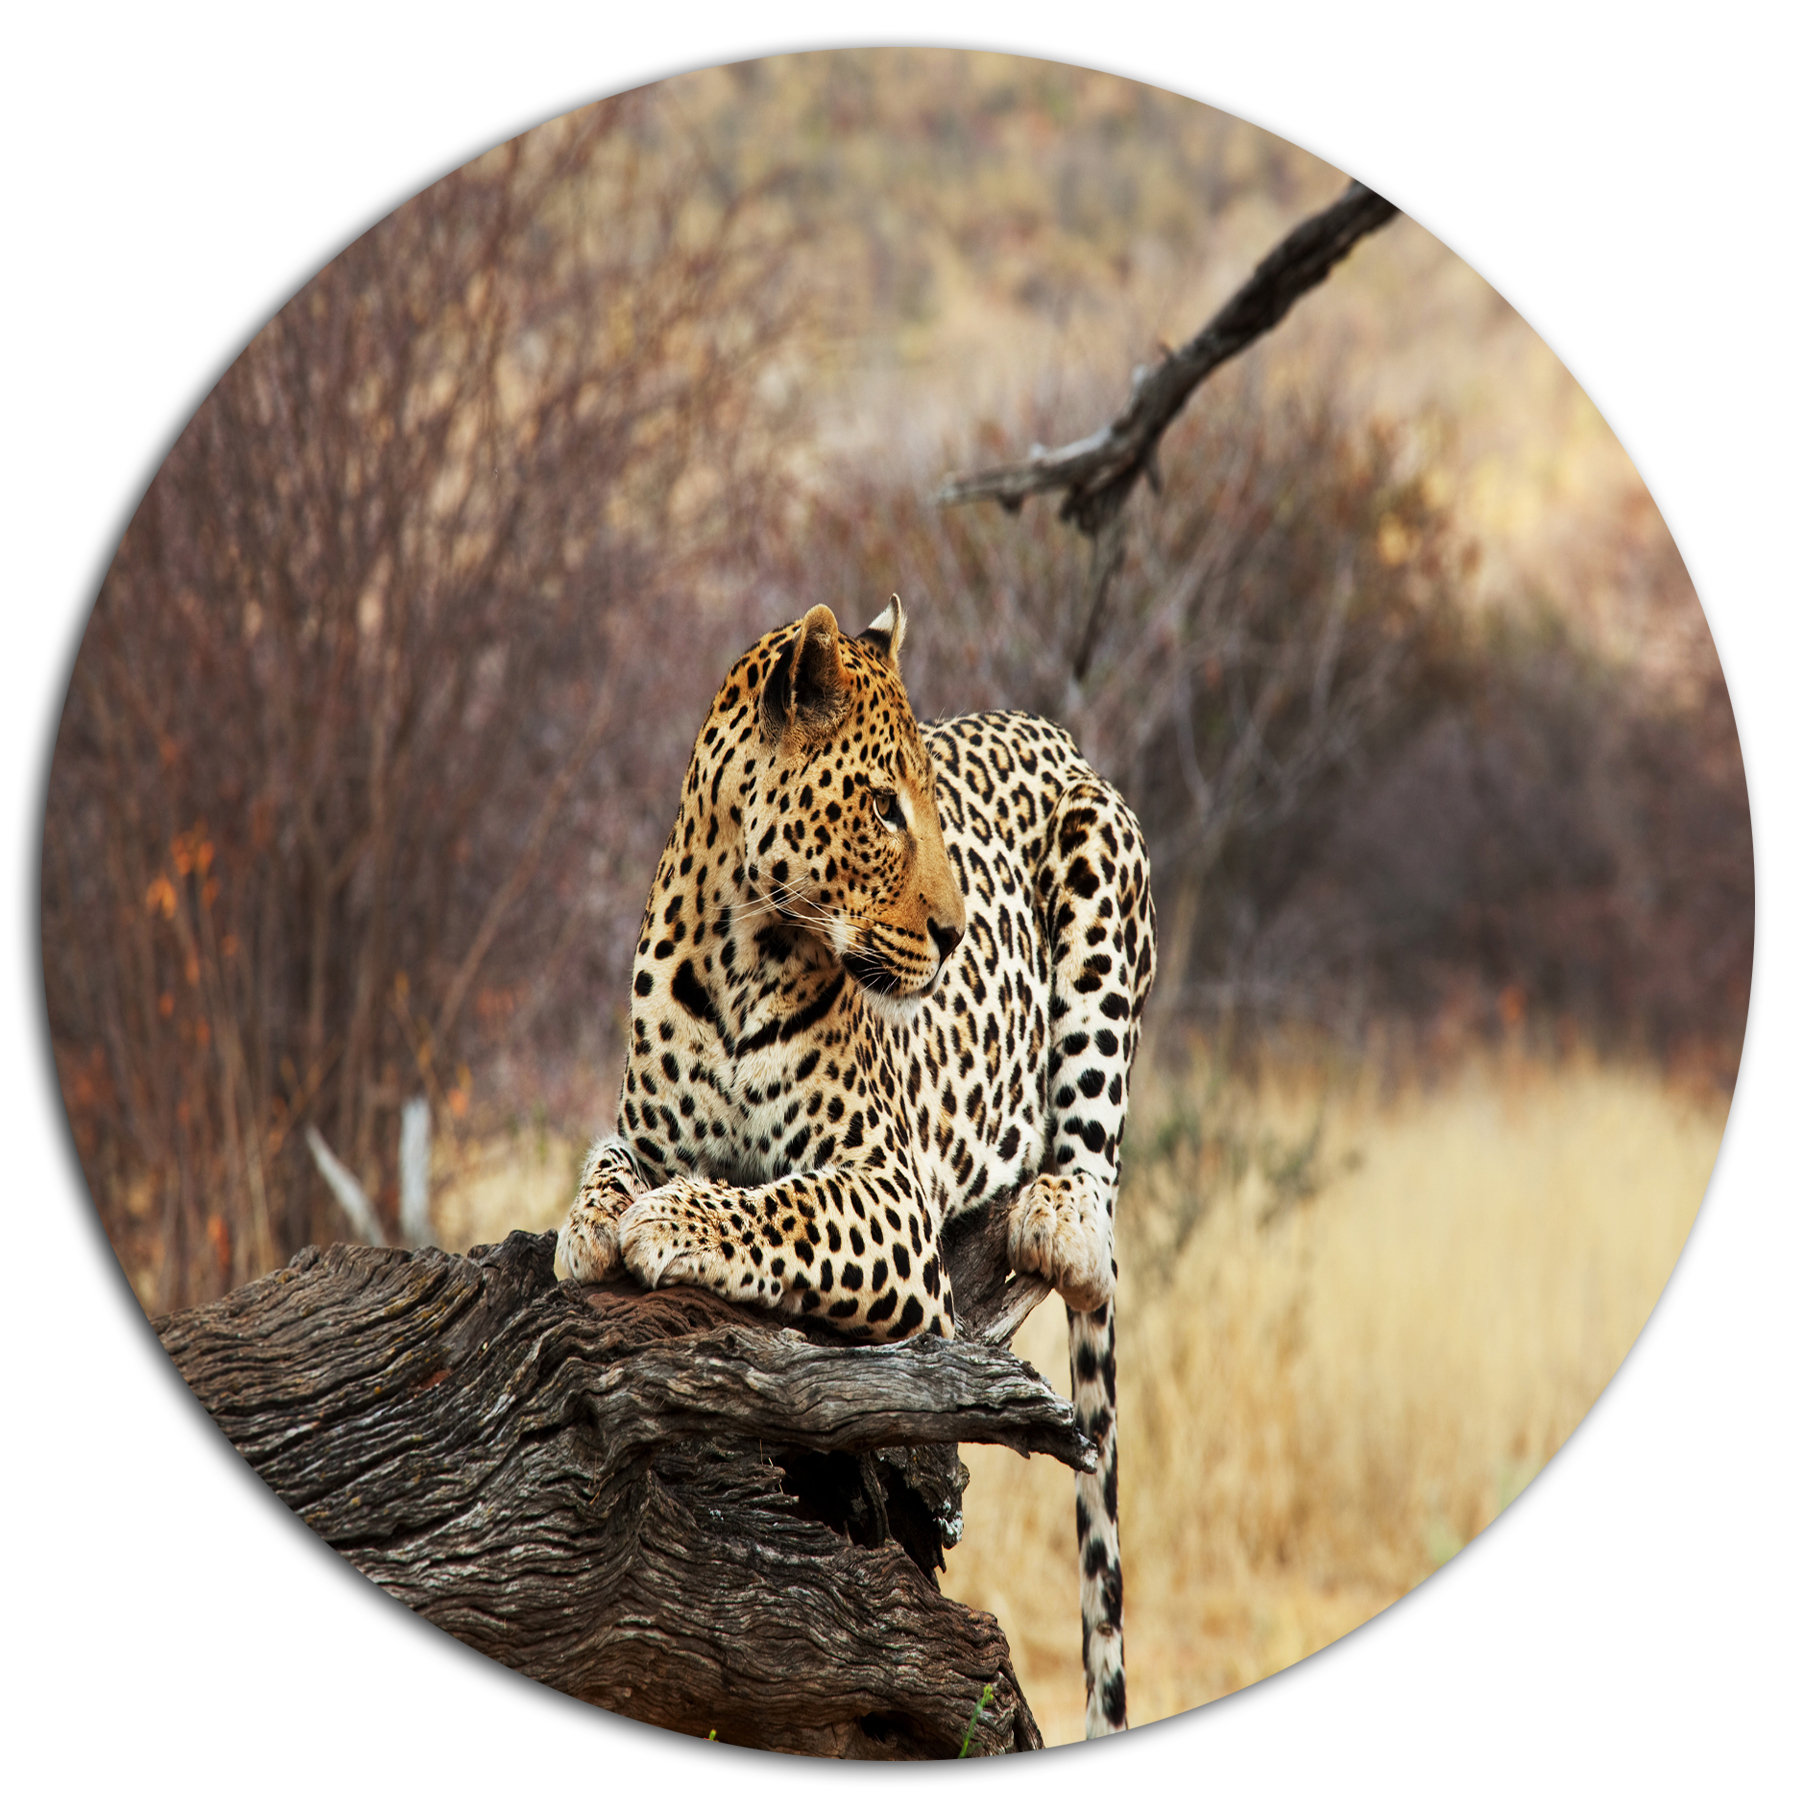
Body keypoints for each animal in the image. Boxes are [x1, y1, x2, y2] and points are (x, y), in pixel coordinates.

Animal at [557, 596, 1155, 1738]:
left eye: (921, 804)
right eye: (881, 806)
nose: (957, 932)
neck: (736, 951)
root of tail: (1048, 729)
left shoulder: (886, 1194)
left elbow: (782, 1205)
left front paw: (677, 1222)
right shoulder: (638, 1131)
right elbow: (604, 1165)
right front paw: (588, 1226)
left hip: (1107, 855)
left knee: (1096, 1157)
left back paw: (1059, 1209)